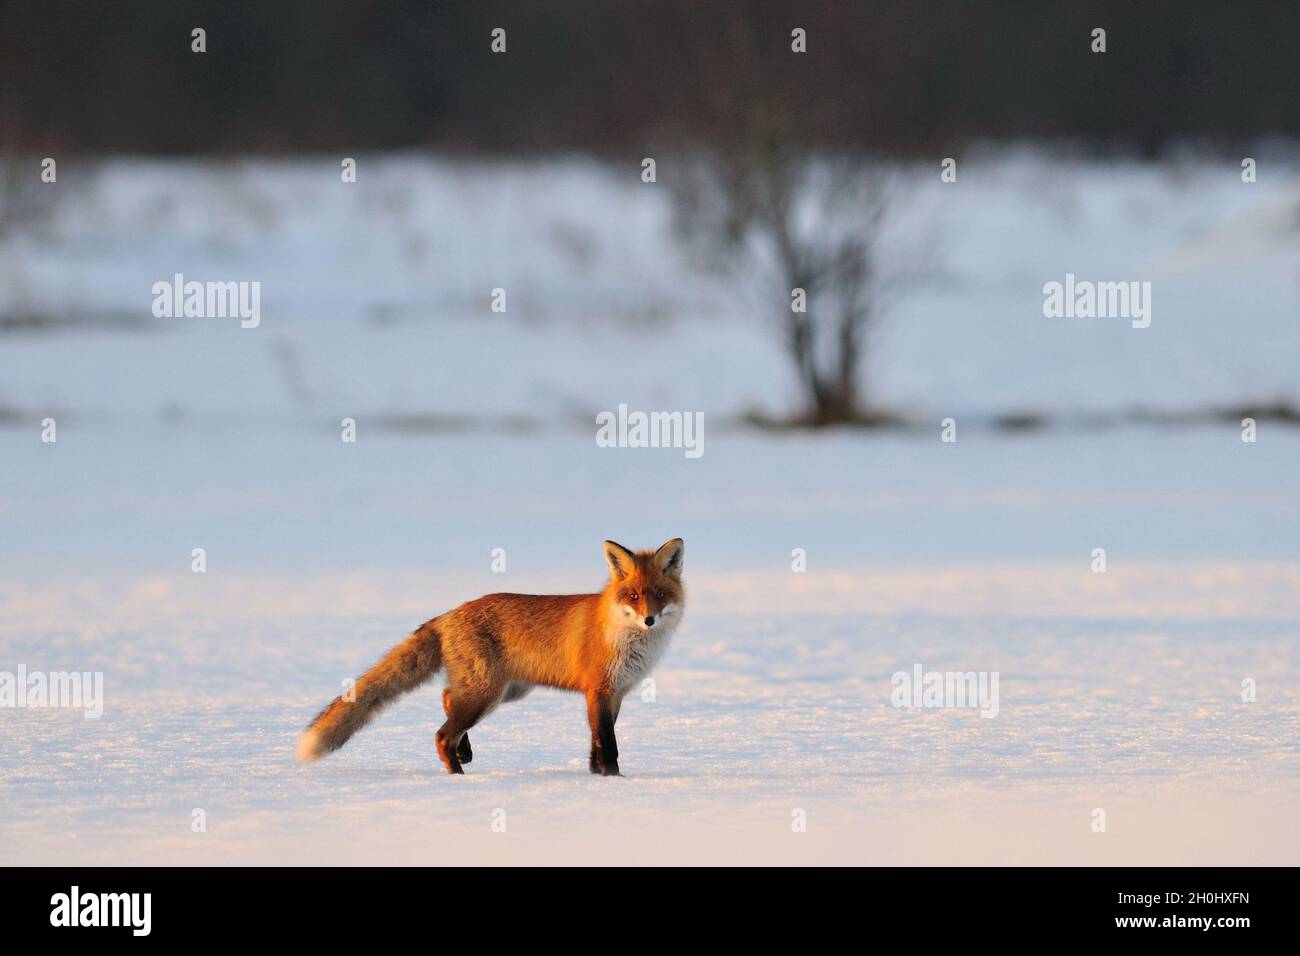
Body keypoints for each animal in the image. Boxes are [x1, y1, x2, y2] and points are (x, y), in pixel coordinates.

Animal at [296, 538, 684, 775]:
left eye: (660, 595)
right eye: (633, 596)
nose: (649, 620)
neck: (624, 637)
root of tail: (447, 614)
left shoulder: (612, 694)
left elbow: (596, 741)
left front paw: (595, 775)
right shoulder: (600, 690)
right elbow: (608, 743)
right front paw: (614, 780)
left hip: (504, 691)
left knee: (446, 696)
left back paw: (463, 752)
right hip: (487, 693)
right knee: (442, 733)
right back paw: (458, 775)